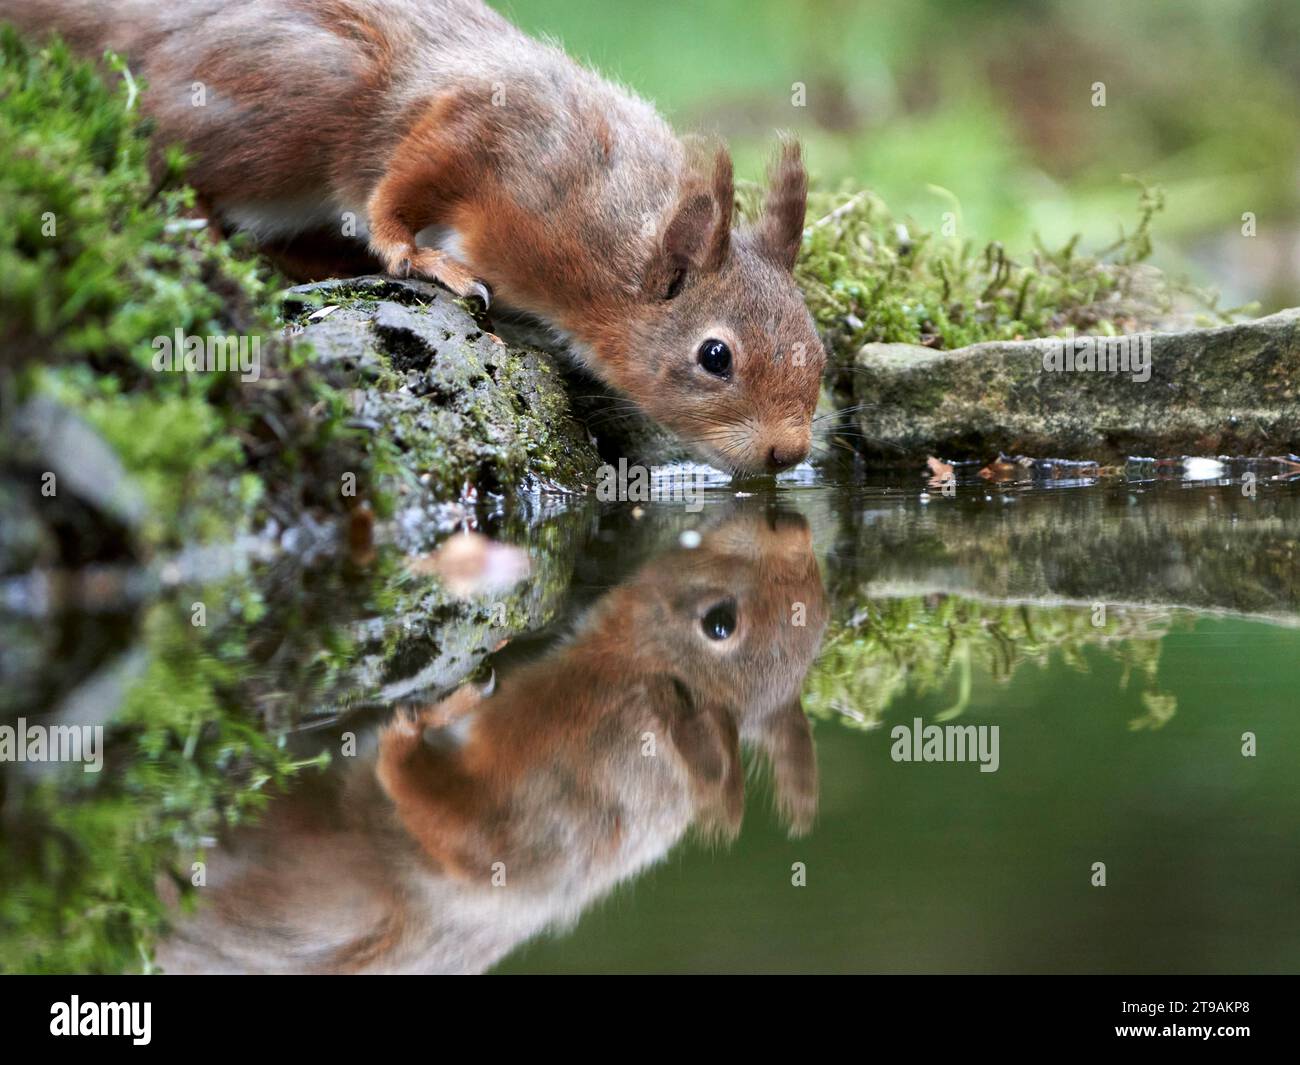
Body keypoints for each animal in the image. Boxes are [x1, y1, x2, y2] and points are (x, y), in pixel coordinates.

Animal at [5, 0, 828, 475]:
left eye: (818, 350)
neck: (607, 226)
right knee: (167, 158)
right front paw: (417, 255)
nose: (788, 452)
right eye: (715, 356)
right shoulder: (480, 130)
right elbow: (400, 186)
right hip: (292, 102)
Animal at [154, 507, 828, 973]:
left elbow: (450, 824)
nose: (788, 530)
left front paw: (422, 723)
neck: (626, 690)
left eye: (720, 623)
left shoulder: (558, 801)